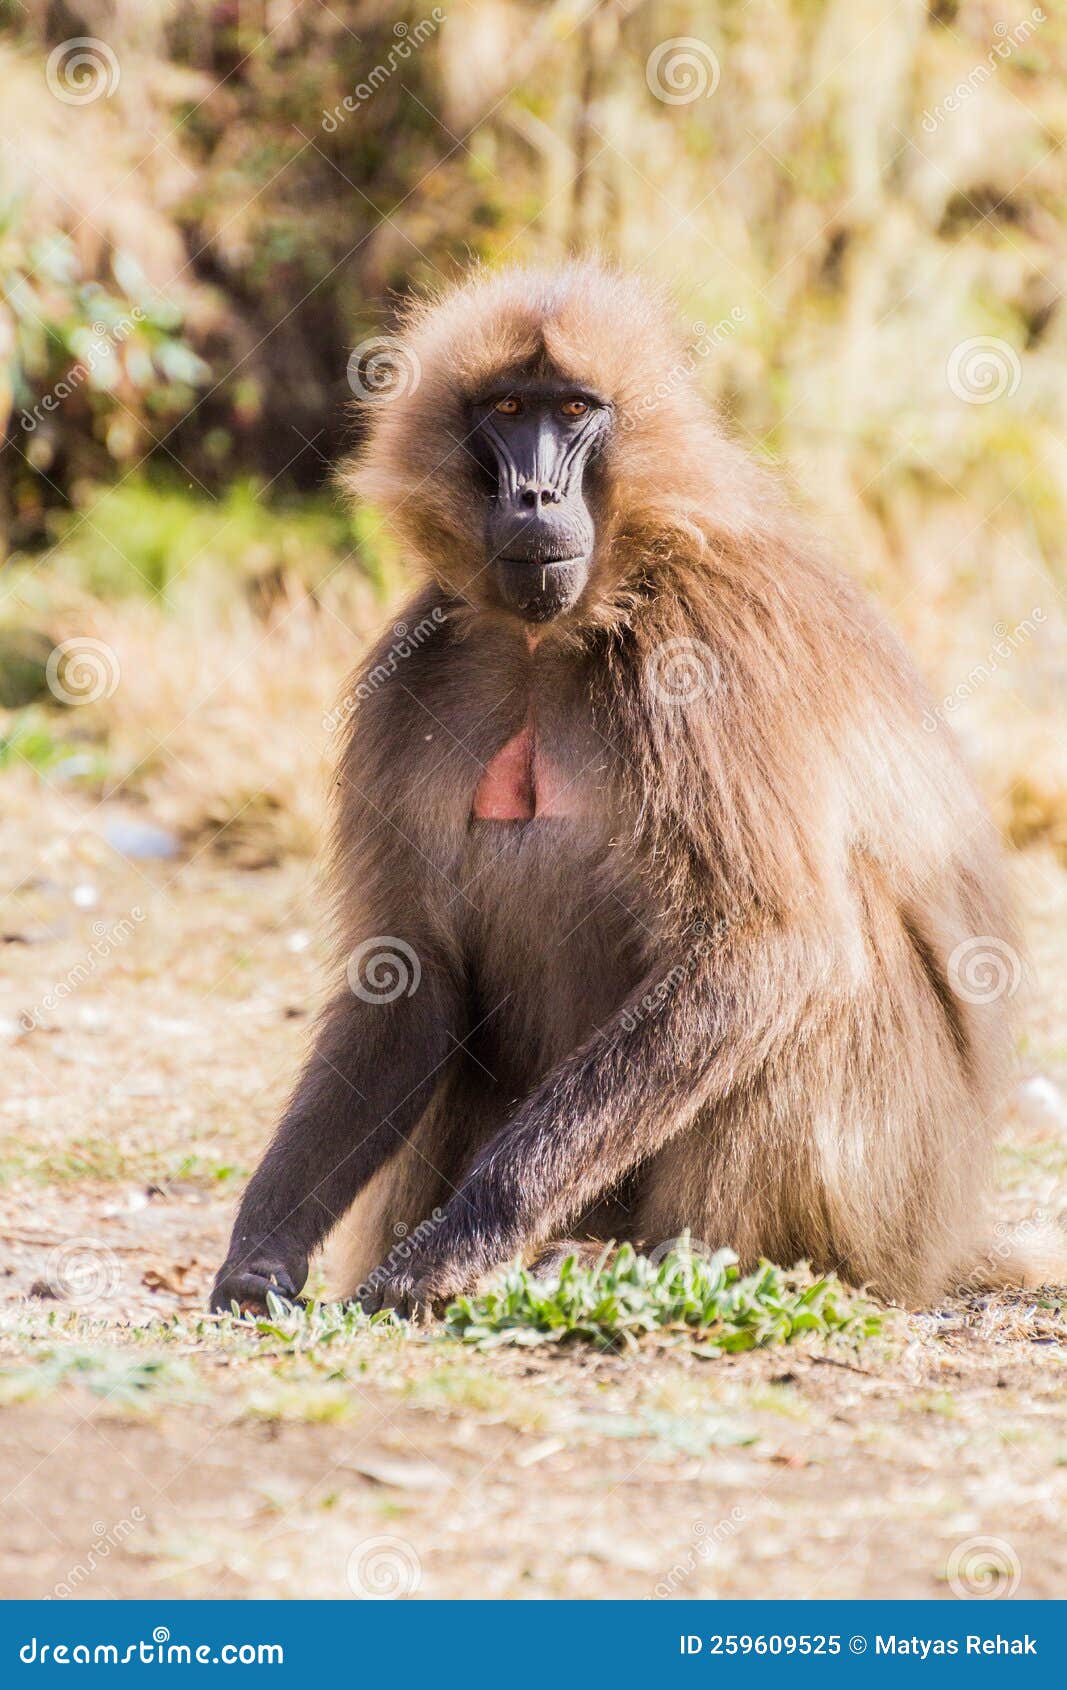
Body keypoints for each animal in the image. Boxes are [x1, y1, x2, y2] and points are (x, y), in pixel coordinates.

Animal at [211, 259, 1055, 1320]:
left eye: (574, 410)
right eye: (506, 409)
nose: (534, 492)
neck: (554, 635)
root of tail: (941, 1243)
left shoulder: (703, 646)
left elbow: (767, 943)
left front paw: (452, 1247)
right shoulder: (412, 677)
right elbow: (409, 976)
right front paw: (259, 1256)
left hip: (885, 1203)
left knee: (816, 962)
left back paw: (676, 1258)